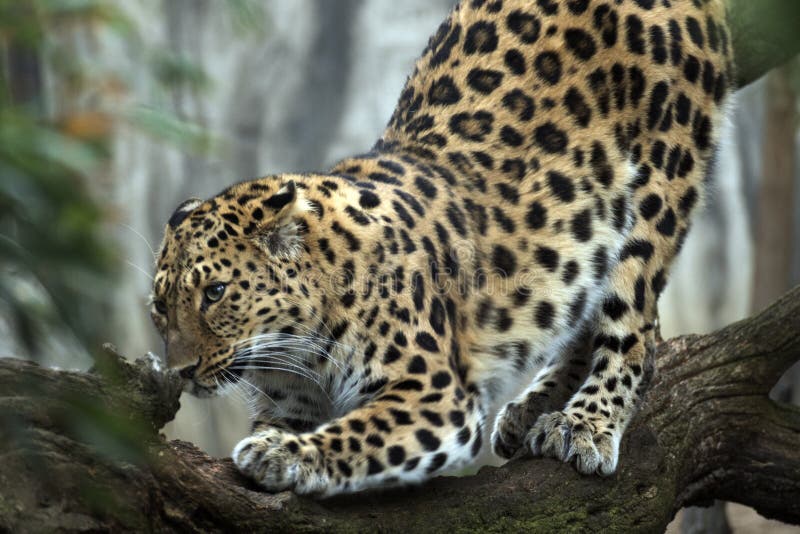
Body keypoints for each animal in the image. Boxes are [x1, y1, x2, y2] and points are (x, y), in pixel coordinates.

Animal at [151, 0, 734, 496]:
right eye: (159, 306)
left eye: (215, 293)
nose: (179, 372)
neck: (297, 347)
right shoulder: (294, 401)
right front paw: (276, 441)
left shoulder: (433, 393)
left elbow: (357, 433)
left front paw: (283, 454)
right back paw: (532, 410)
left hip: (658, 193)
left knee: (637, 329)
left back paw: (583, 423)